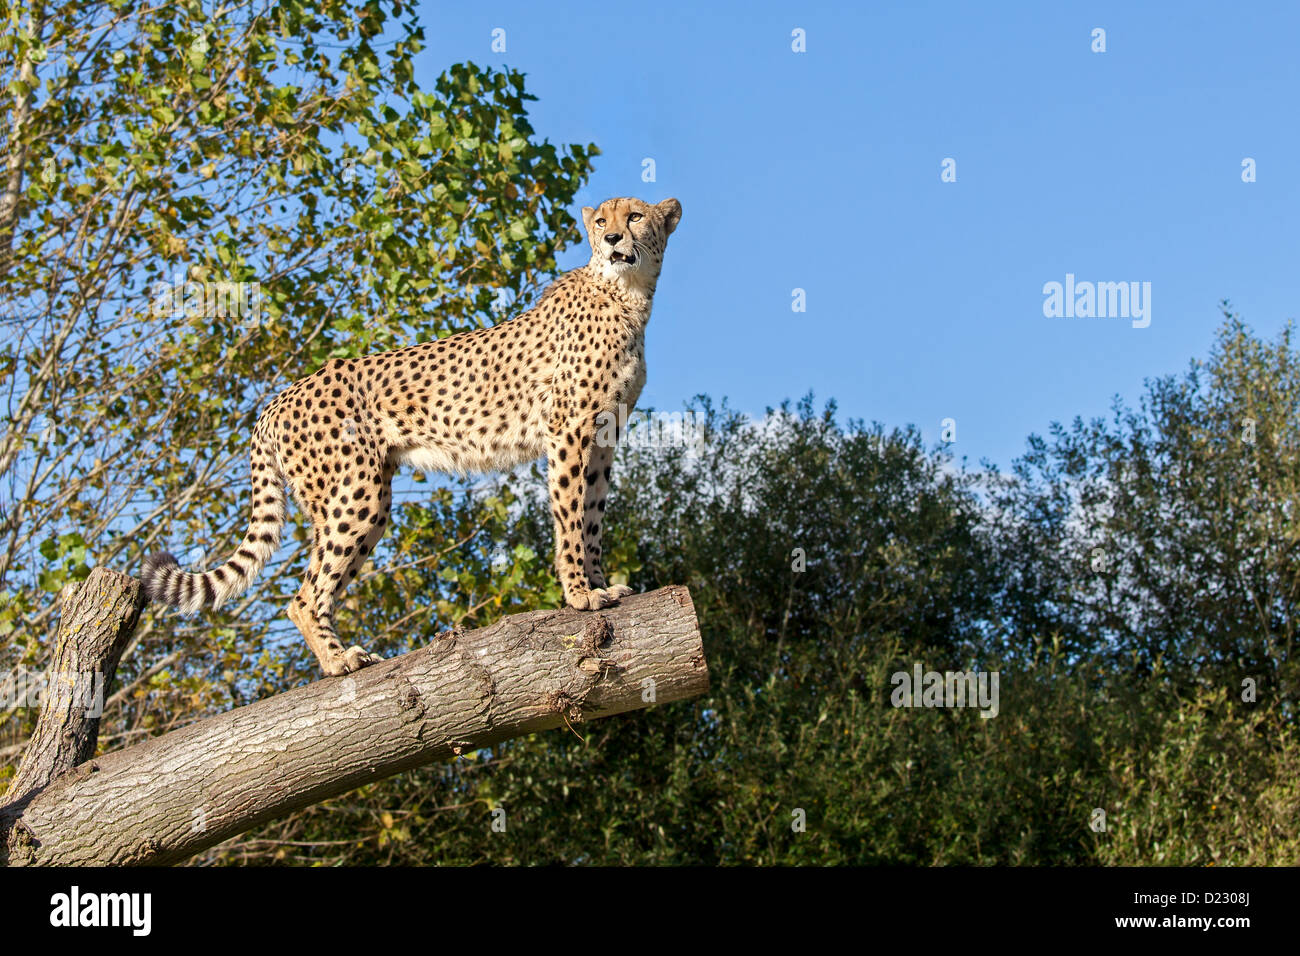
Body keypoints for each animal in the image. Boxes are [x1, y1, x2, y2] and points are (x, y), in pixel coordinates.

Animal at [142, 196, 682, 676]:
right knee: (304, 594)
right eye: (600, 221)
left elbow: (592, 518)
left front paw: (602, 584)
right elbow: (569, 518)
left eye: (635, 216)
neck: (628, 295)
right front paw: (579, 594)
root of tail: (279, 397)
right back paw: (338, 660)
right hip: (355, 492)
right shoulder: (567, 431)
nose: (612, 239)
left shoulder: (603, 439)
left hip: (360, 498)